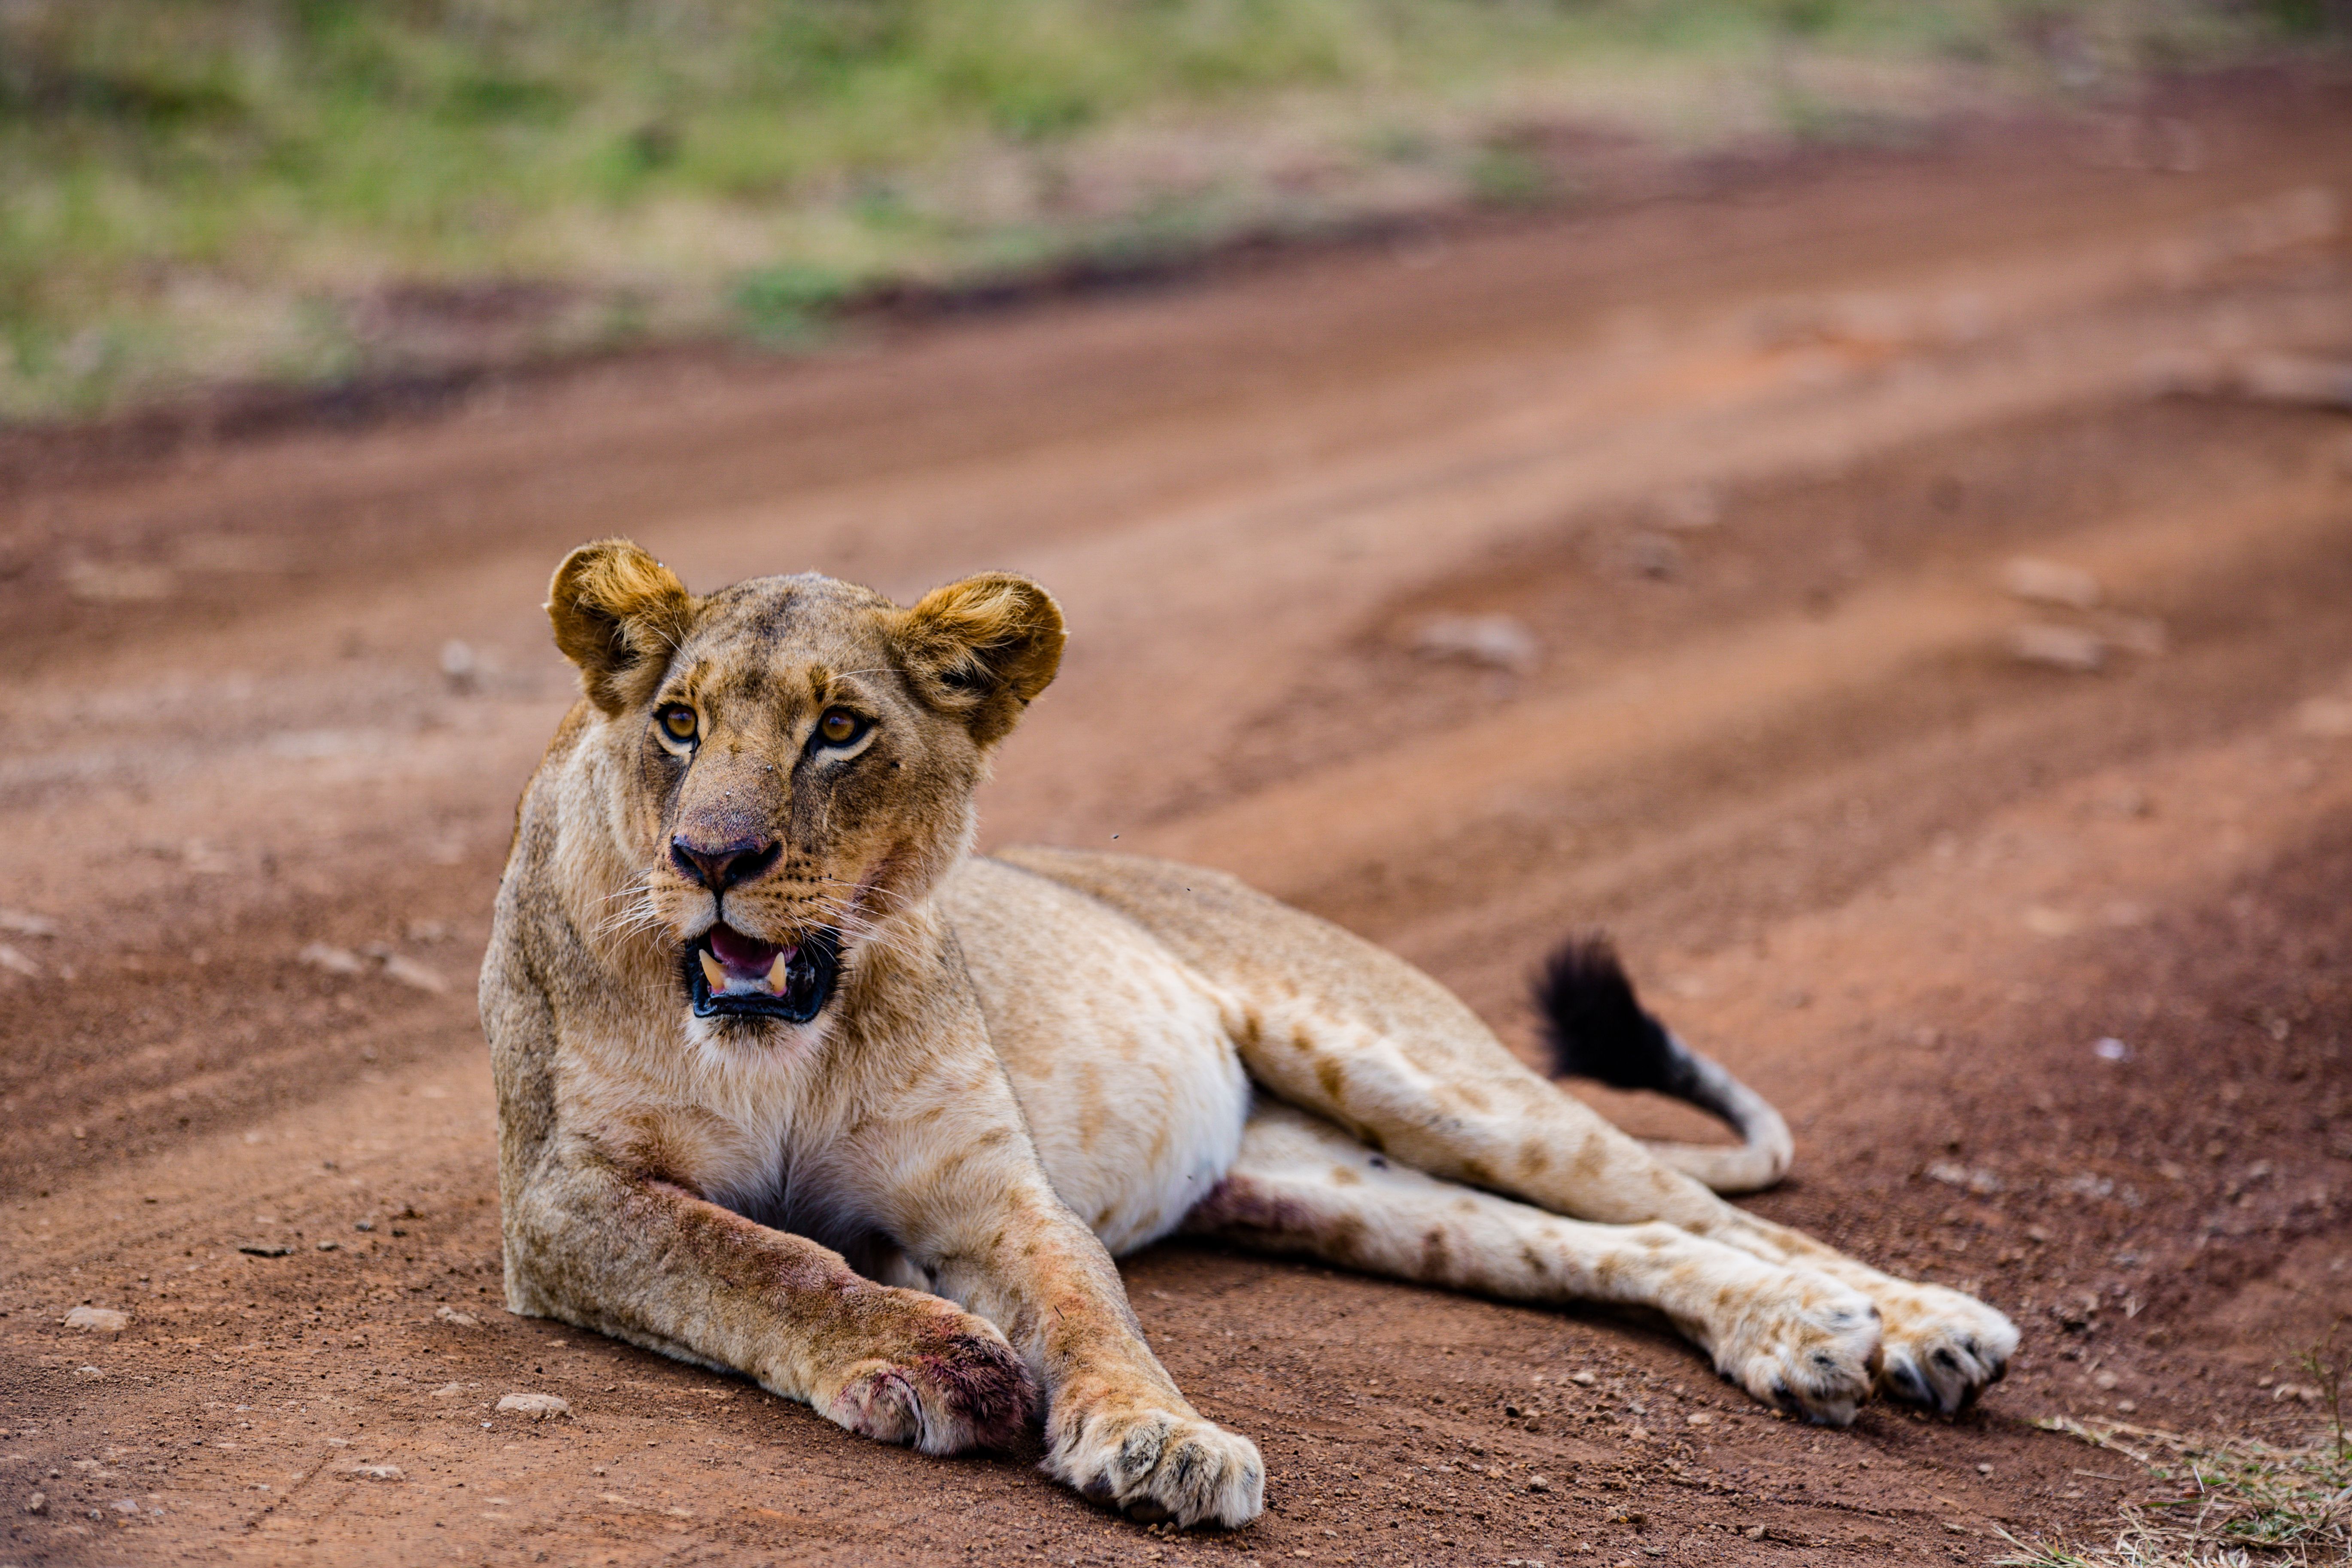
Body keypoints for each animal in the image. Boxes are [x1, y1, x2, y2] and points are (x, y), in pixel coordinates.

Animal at [482, 540, 2019, 1529]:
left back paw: (1912, 1327)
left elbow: (1089, 1305)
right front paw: (940, 1361)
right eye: (679, 722)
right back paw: (1798, 1340)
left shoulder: (994, 1190)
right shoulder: (567, 1199)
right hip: (1340, 1189)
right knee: (1626, 1243)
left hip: (1427, 1077)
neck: (790, 1025)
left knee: (1706, 1208)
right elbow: (760, 1257)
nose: (709, 857)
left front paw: (1159, 1437)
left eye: (841, 730)